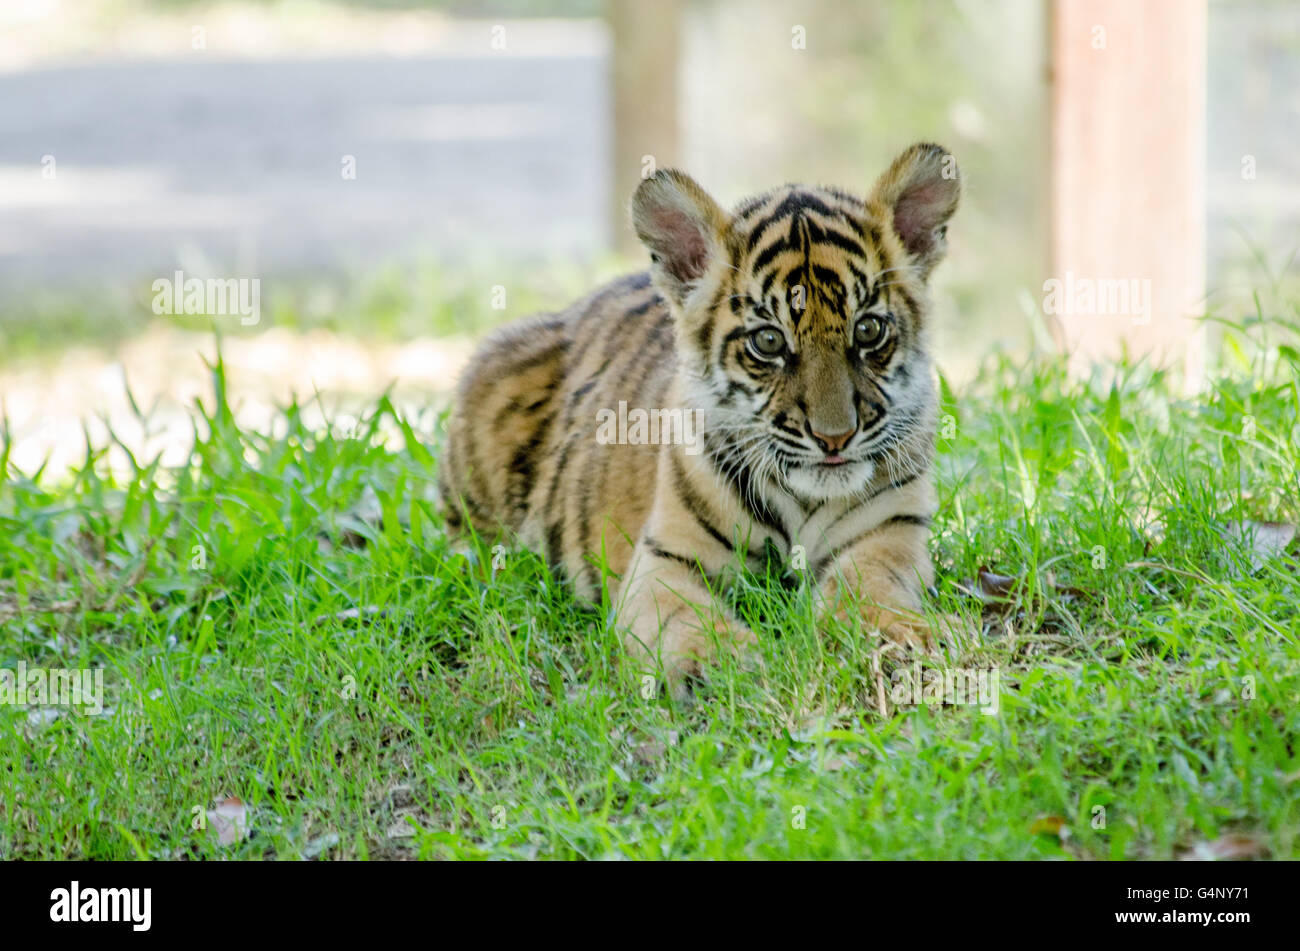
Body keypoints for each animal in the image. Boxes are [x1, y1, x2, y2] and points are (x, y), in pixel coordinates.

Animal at [439, 142, 961, 697]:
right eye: (768, 341)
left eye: (868, 330)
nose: (834, 438)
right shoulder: (663, 558)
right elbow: (685, 619)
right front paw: (723, 664)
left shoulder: (888, 533)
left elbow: (871, 590)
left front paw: (907, 636)